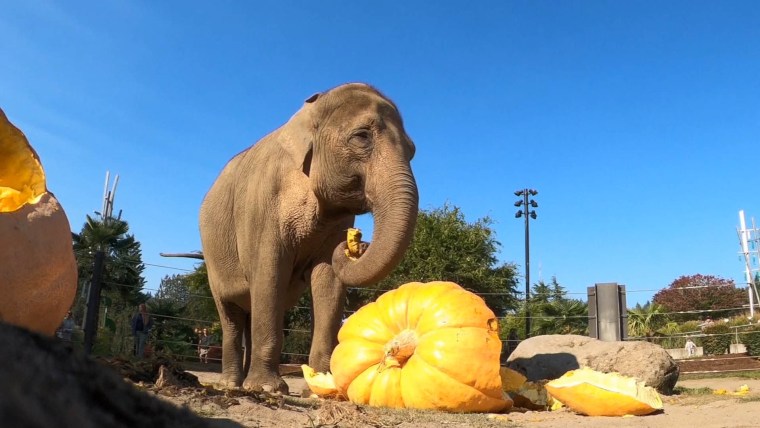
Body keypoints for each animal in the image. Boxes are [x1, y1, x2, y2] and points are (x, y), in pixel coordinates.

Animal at [199, 83, 419, 394]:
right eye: (361, 136)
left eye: (412, 151)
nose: (357, 242)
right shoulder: (260, 207)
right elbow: (269, 274)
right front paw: (268, 388)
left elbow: (328, 280)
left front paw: (319, 387)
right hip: (213, 260)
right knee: (230, 315)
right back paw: (232, 385)